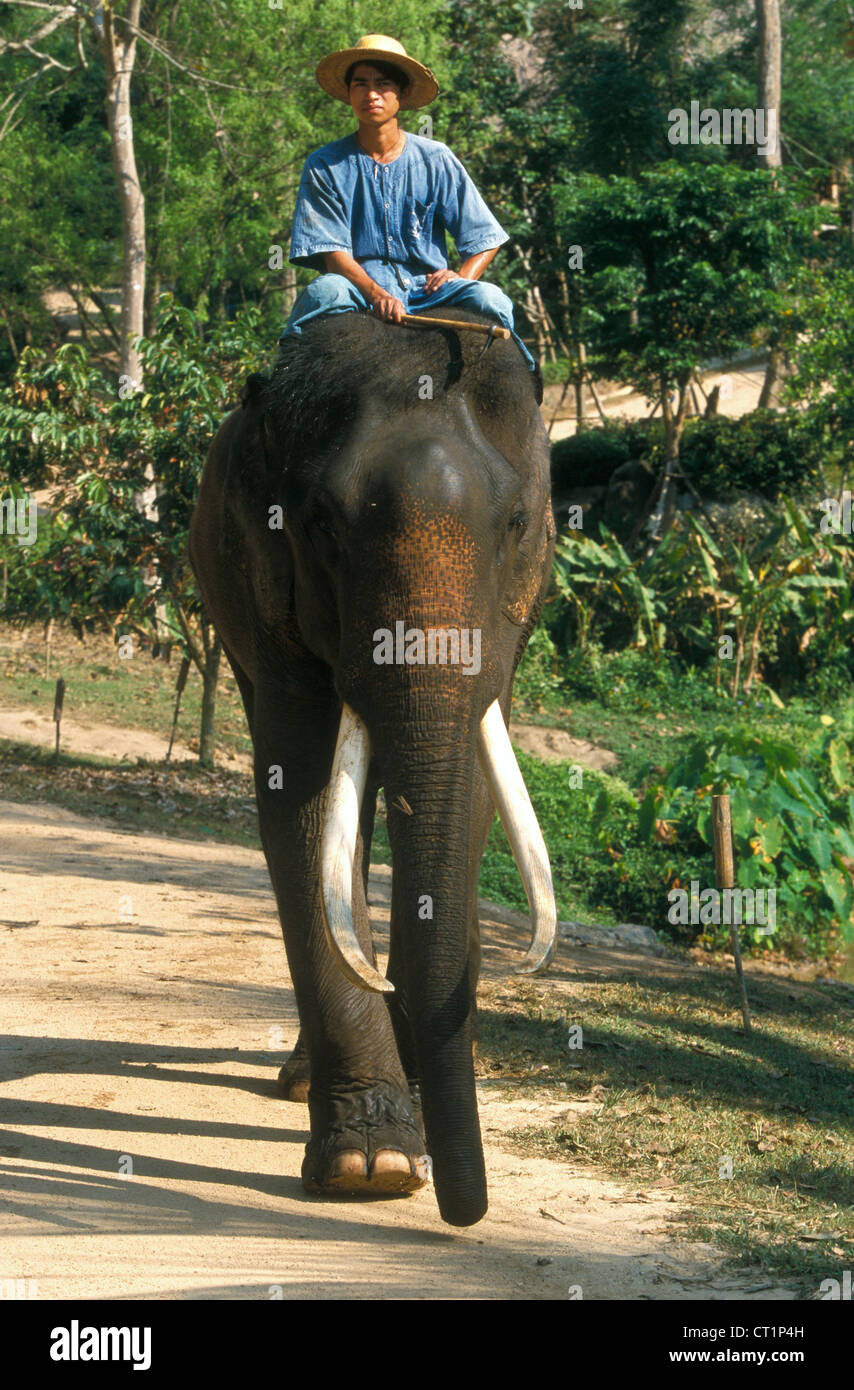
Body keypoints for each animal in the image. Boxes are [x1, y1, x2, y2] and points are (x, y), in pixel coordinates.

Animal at [189, 306, 557, 1227]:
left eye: (516, 524)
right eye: (321, 525)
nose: (464, 1212)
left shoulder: (511, 620)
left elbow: (472, 789)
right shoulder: (268, 591)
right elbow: (301, 791)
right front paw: (377, 1169)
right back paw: (316, 1085)